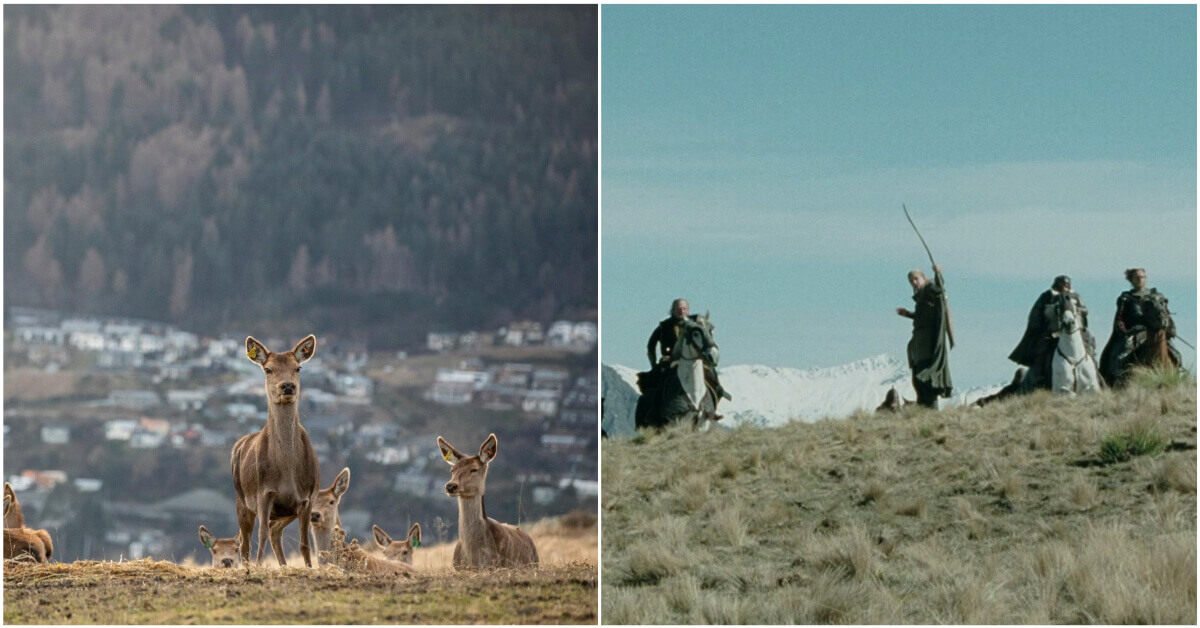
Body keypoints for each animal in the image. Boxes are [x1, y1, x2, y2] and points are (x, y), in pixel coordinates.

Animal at [231, 335, 321, 567]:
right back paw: (247, 565)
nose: (287, 386)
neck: (287, 471)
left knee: (275, 532)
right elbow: (260, 534)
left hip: (285, 512)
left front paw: (309, 567)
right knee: (246, 541)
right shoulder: (264, 493)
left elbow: (304, 542)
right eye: (268, 369)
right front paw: (258, 566)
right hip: (241, 499)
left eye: (298, 368)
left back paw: (283, 565)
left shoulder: (307, 497)